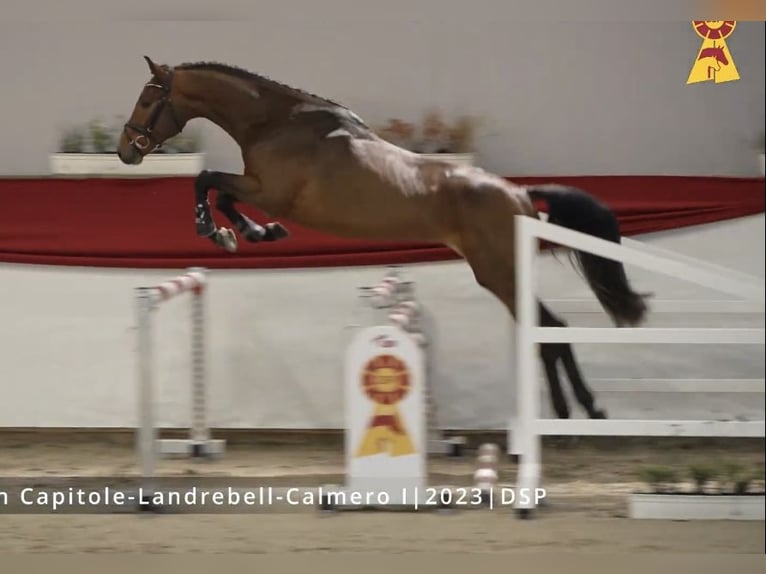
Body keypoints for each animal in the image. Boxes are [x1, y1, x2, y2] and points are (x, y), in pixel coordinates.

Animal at [117, 56, 649, 421]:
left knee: (551, 331)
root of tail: (518, 194)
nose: (125, 151)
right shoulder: (262, 190)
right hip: (503, 274)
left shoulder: (270, 191)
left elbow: (207, 180)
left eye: (146, 99)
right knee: (549, 331)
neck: (278, 122)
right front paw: (252, 233)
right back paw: (579, 413)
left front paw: (219, 232)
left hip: (499, 273)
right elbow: (223, 192)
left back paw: (576, 415)